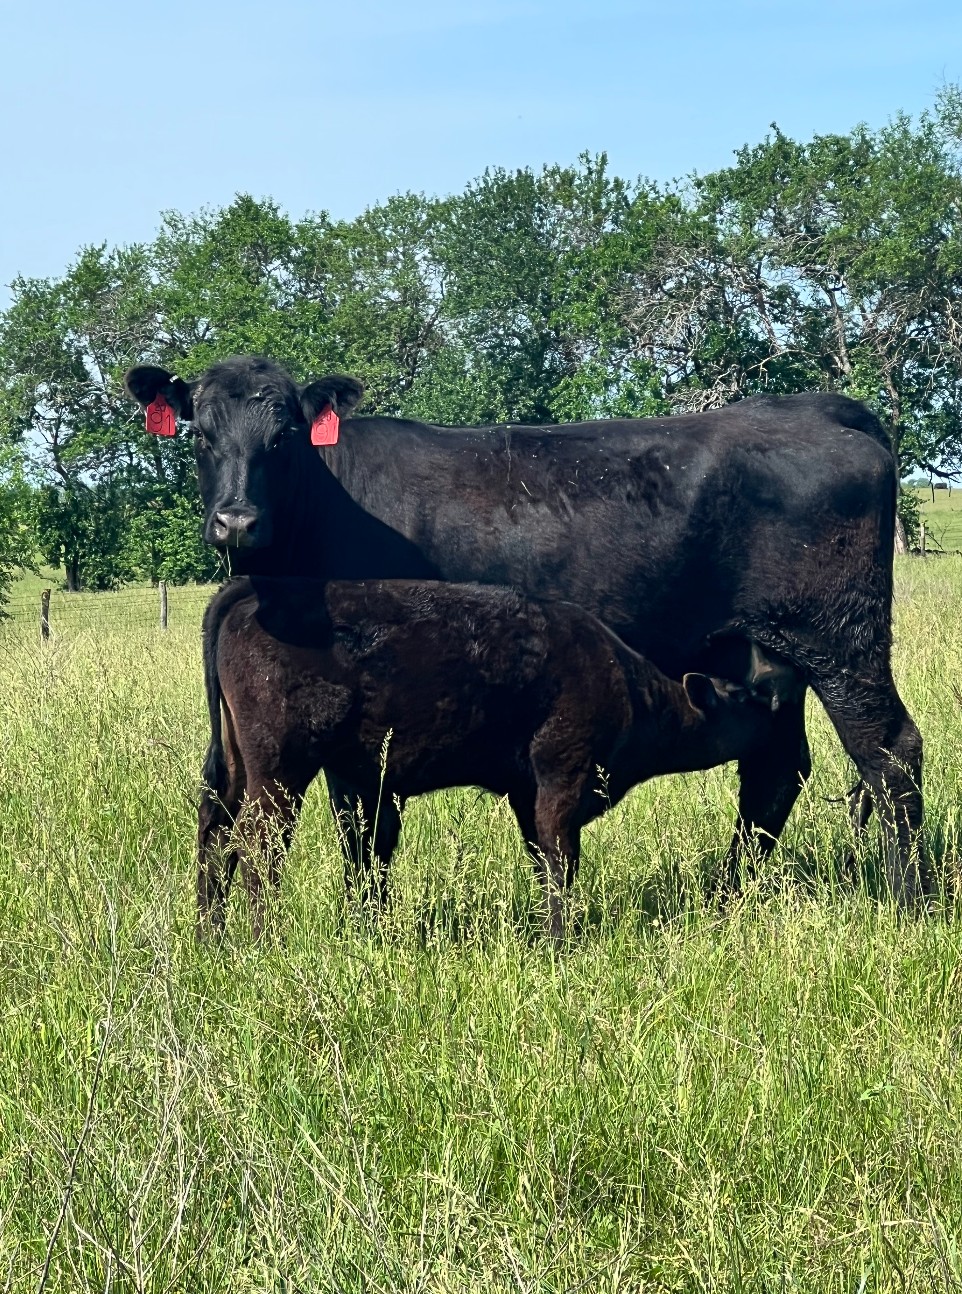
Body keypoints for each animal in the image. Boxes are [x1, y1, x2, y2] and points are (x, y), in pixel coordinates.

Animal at [197, 576, 803, 938]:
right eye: (747, 696)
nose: (777, 696)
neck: (631, 689)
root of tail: (255, 590)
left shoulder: (526, 790)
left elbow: (542, 857)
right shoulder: (563, 774)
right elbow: (562, 858)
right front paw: (563, 940)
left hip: (238, 766)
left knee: (216, 830)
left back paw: (213, 932)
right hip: (280, 769)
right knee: (258, 842)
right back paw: (263, 937)